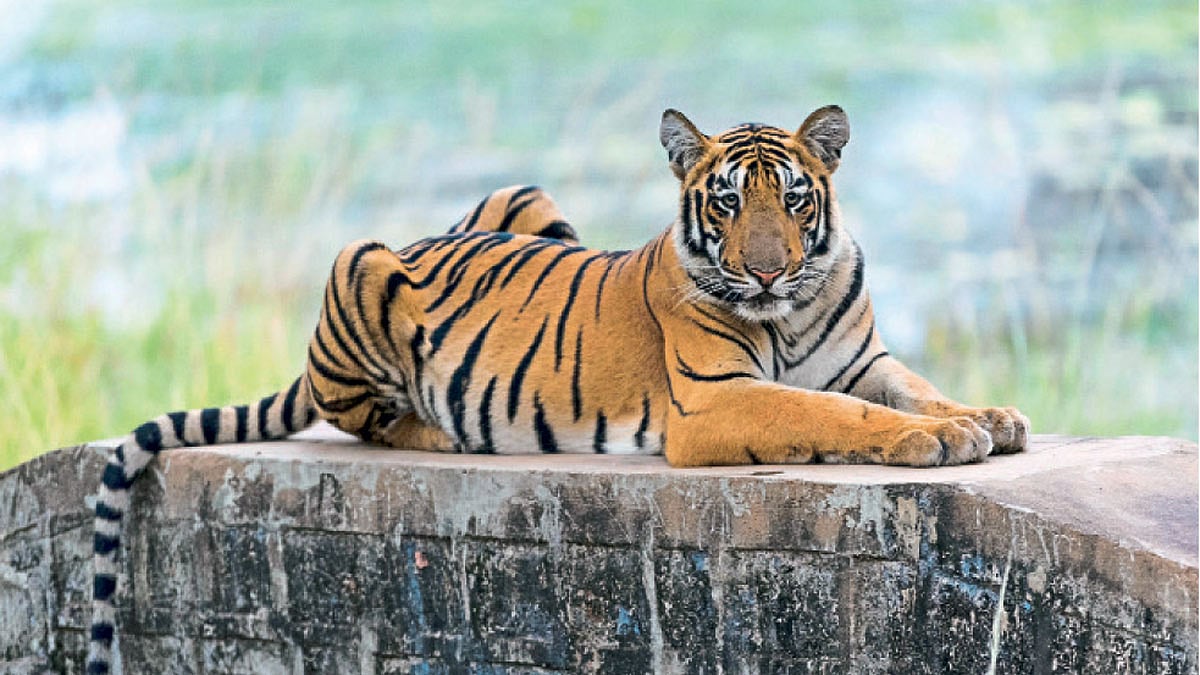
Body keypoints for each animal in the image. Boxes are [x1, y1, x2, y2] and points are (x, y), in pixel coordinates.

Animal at [87, 105, 1029, 673]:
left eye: (795, 200)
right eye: (725, 205)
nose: (766, 271)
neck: (790, 311)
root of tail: (421, 236)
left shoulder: (861, 359)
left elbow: (915, 387)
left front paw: (988, 417)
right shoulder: (716, 396)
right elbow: (831, 409)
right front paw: (935, 440)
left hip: (523, 195)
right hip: (358, 260)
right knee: (358, 414)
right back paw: (437, 428)